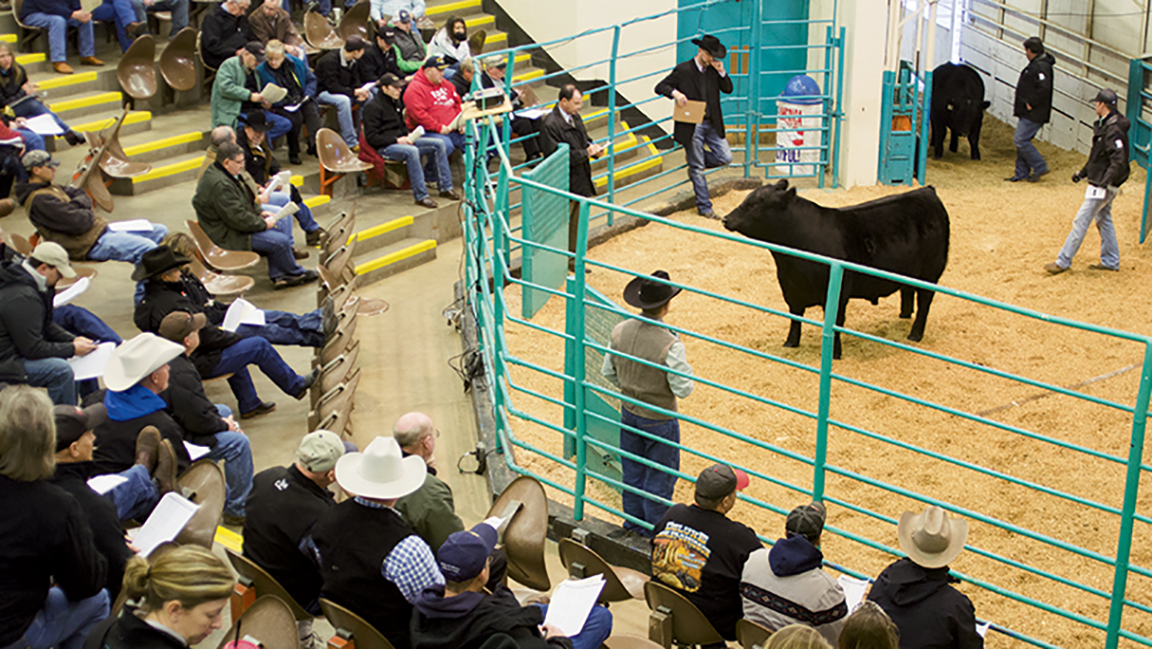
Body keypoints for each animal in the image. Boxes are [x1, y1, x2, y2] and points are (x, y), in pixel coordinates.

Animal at [723, 180, 951, 359]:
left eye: (754, 205)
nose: (725, 218)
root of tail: (927, 191)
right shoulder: (791, 289)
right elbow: (795, 317)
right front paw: (790, 342)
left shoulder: (839, 294)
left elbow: (835, 322)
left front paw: (835, 353)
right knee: (907, 290)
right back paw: (904, 315)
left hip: (931, 272)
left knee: (925, 302)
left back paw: (915, 334)